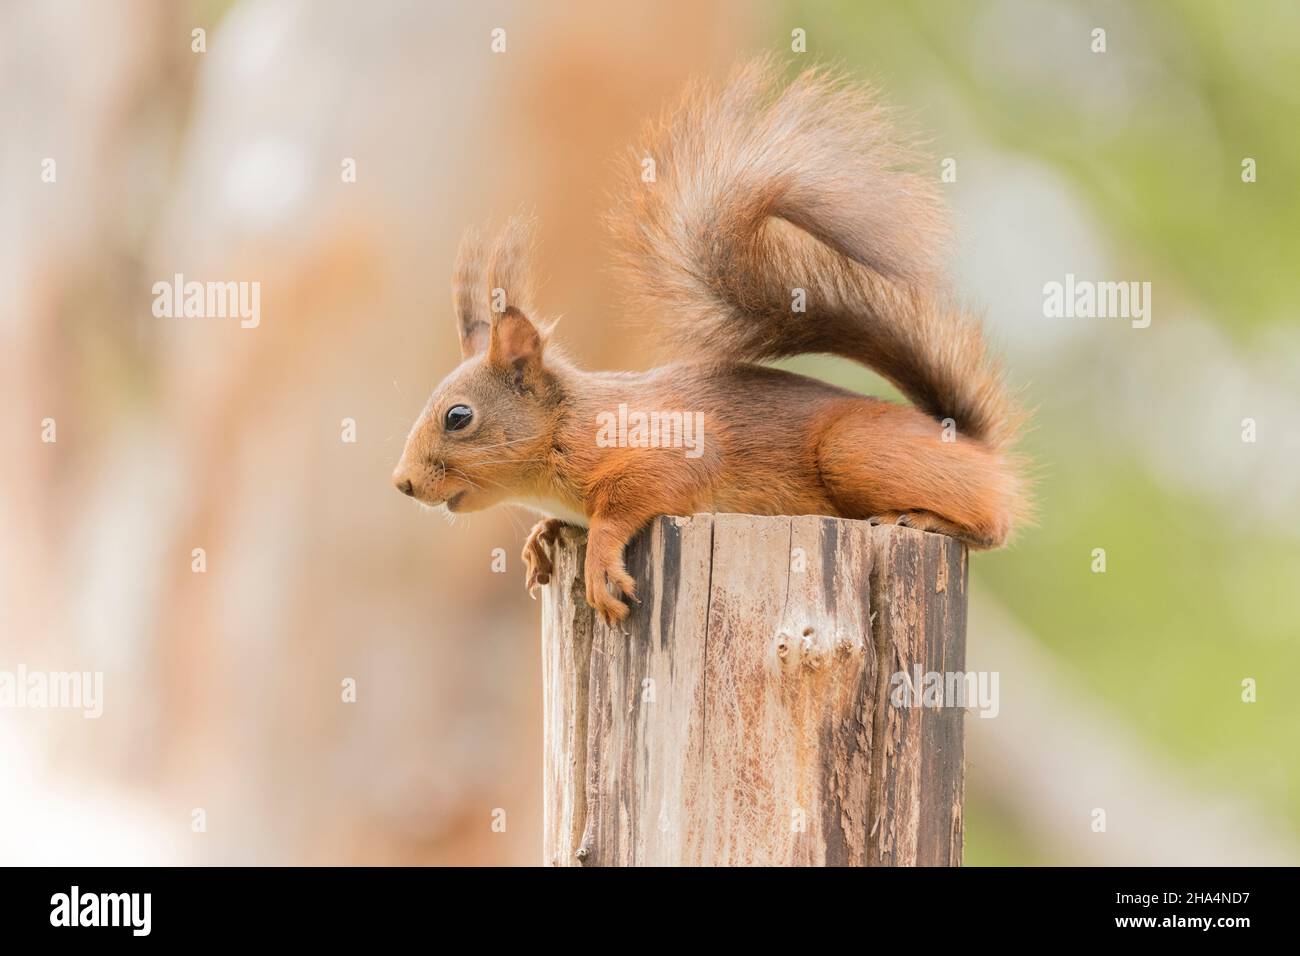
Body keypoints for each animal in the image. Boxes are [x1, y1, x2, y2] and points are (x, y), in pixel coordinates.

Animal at [393, 57, 1028, 625]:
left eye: (457, 417)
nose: (403, 483)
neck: (564, 425)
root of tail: (967, 441)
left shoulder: (669, 444)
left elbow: (632, 500)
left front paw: (598, 561)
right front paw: (542, 536)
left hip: (855, 453)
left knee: (994, 525)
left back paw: (926, 520)